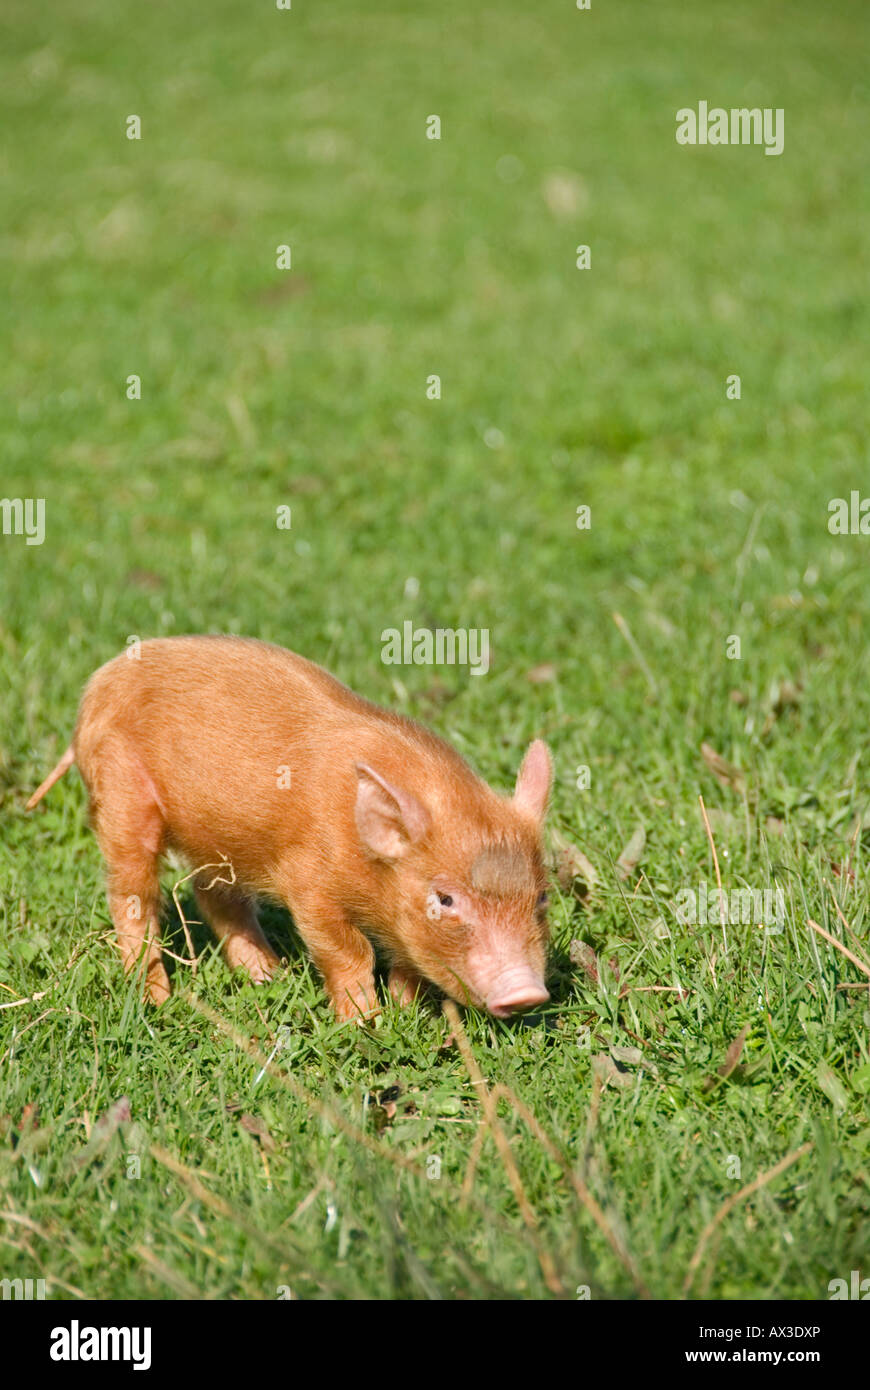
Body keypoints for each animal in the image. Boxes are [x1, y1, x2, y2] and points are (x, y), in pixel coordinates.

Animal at [26, 636, 552, 1021]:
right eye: (445, 900)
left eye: (543, 897)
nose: (526, 993)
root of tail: (97, 685)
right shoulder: (309, 885)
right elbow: (349, 952)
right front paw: (364, 1023)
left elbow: (406, 964)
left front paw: (406, 1014)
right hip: (120, 793)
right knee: (132, 895)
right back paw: (158, 998)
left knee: (215, 897)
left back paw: (269, 976)